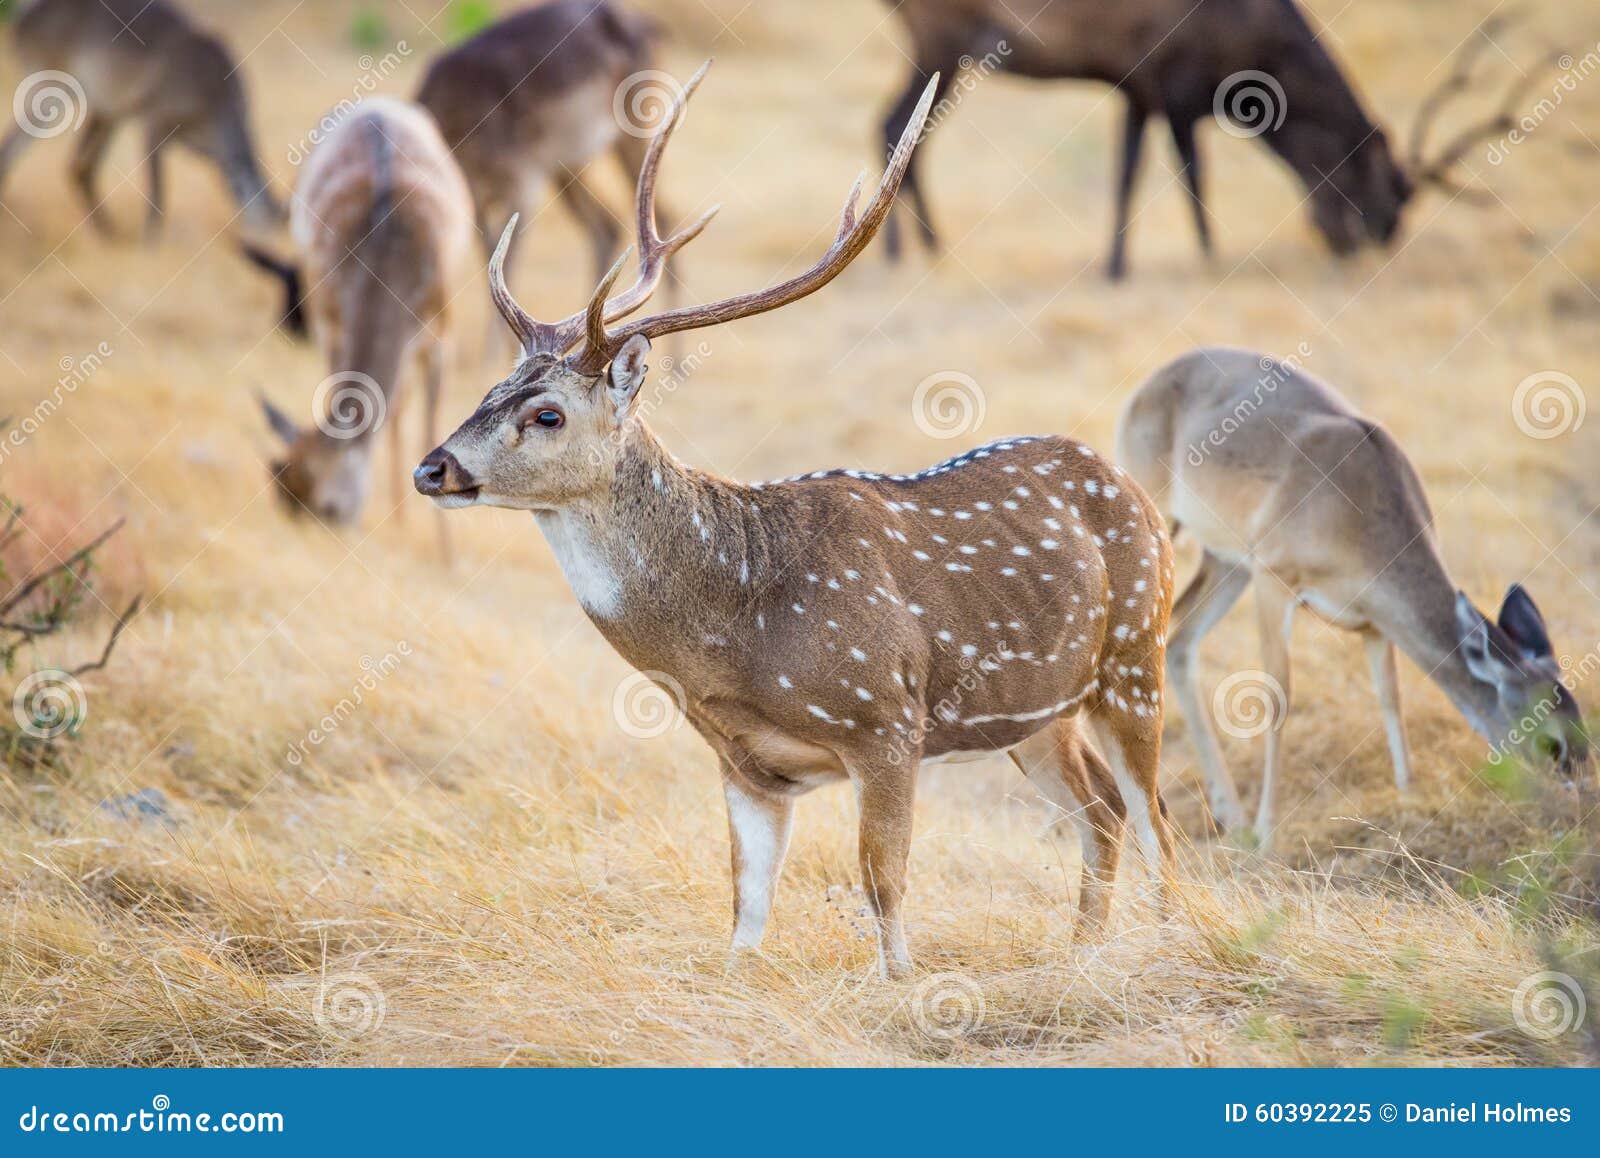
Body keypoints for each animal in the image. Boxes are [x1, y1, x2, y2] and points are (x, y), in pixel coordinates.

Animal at [0, 0, 284, 236]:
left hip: (106, 112)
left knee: (80, 168)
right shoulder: (153, 124)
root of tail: (23, 16)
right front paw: (150, 244)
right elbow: (157, 194)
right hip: (51, 97)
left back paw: (110, 235)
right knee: (13, 152)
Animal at [414, 64, 1180, 978]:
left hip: (1135, 653)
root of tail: (1135, 490)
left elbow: (883, 882)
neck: (738, 626)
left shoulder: (886, 716)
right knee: (1102, 809)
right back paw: (1082, 954)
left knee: (1157, 818)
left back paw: (1175, 940)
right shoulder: (744, 764)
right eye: (487, 393)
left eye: (548, 414)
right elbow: (745, 909)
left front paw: (902, 986)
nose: (432, 467)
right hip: (1037, 709)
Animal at [878, 2, 1548, 279]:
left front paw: (1121, 264)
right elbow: (1184, 173)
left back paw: (926, 246)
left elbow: (1143, 170)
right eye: (1395, 189)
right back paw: (905, 250)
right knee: (890, 125)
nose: (1373, 239)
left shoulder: (1141, 88)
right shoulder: (1171, 81)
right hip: (940, 38)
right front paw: (1201, 258)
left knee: (900, 130)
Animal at [1115, 347, 1591, 846]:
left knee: (1179, 642)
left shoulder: (1373, 621)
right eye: (1549, 741)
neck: (1357, 517)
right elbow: (1277, 698)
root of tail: (1146, 385)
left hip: (1226, 562)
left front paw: (1407, 794)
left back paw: (1228, 812)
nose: (1576, 807)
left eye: (1584, 731)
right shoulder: (1274, 574)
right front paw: (1268, 831)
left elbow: (1390, 696)